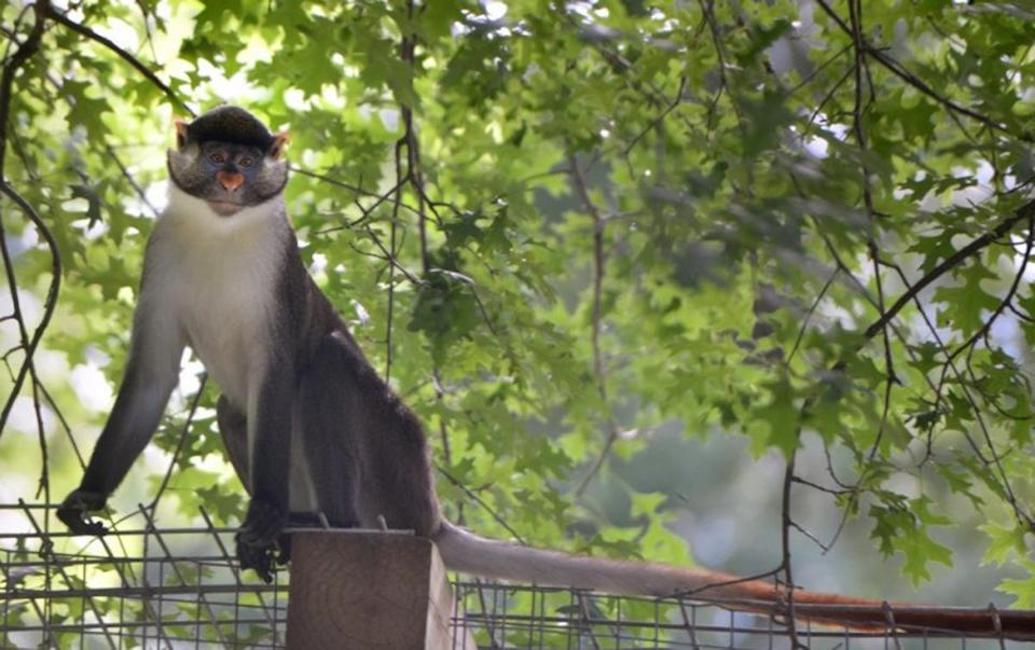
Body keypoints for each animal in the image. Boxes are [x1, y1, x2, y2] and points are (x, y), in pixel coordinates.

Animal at [54, 106, 1019, 636]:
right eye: (216, 153)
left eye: (250, 160)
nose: (228, 174)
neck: (220, 234)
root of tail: (428, 514)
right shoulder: (162, 258)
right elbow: (152, 379)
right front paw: (87, 497)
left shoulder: (277, 279)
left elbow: (283, 371)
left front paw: (257, 523)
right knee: (229, 407)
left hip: (393, 470)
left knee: (323, 368)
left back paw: (317, 524)